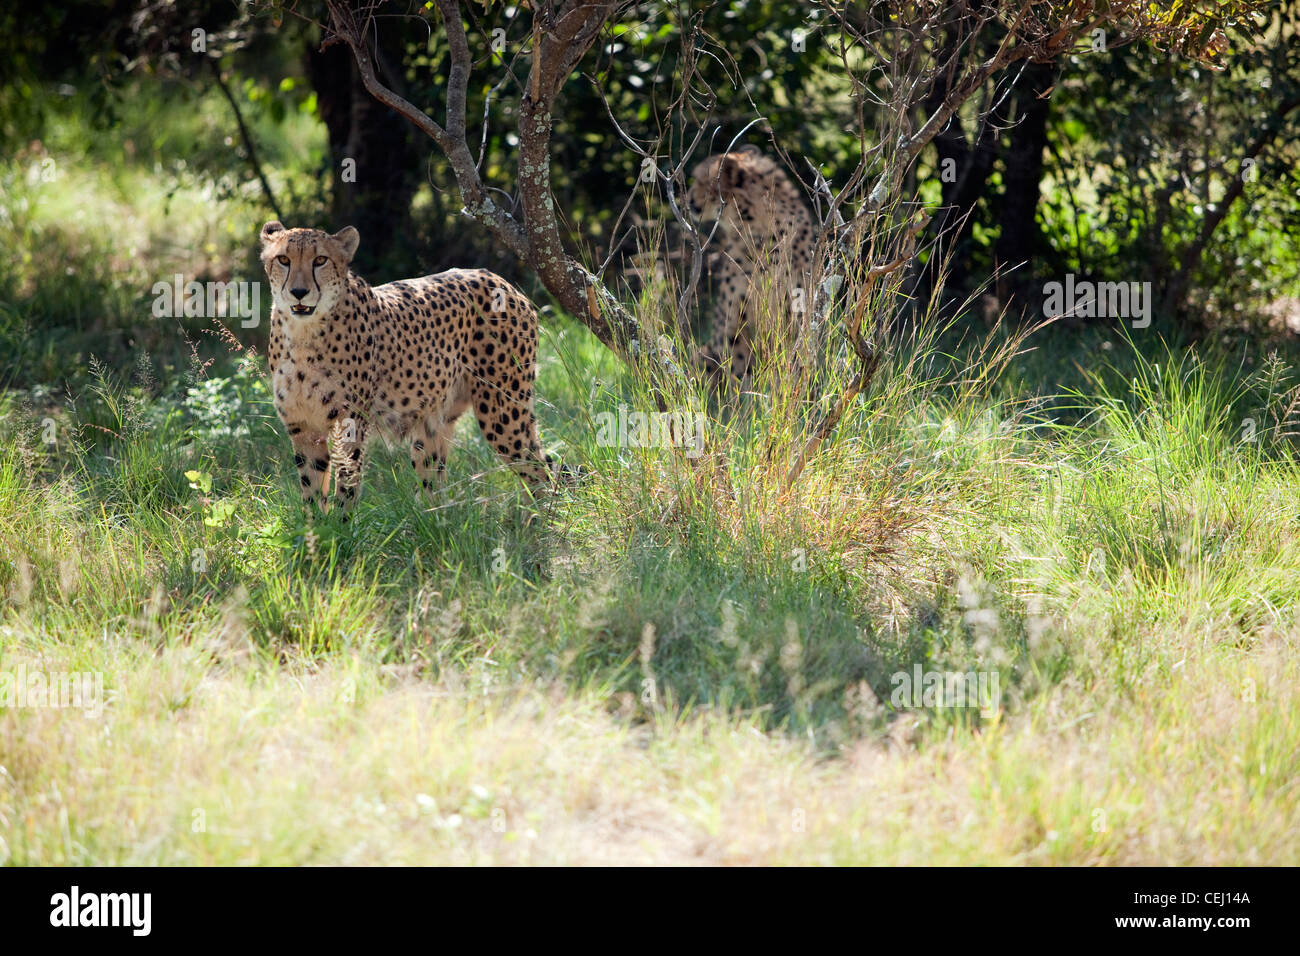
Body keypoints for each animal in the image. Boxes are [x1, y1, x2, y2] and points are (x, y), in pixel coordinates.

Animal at [259, 220, 560, 516]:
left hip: (502, 412)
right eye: (283, 259)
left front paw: (343, 524)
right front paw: (315, 527)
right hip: (433, 424)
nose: (299, 292)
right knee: (435, 485)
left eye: (320, 260)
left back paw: (540, 522)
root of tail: (499, 280)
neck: (302, 335)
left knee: (540, 469)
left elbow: (347, 481)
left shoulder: (351, 421)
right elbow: (311, 488)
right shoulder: (303, 425)